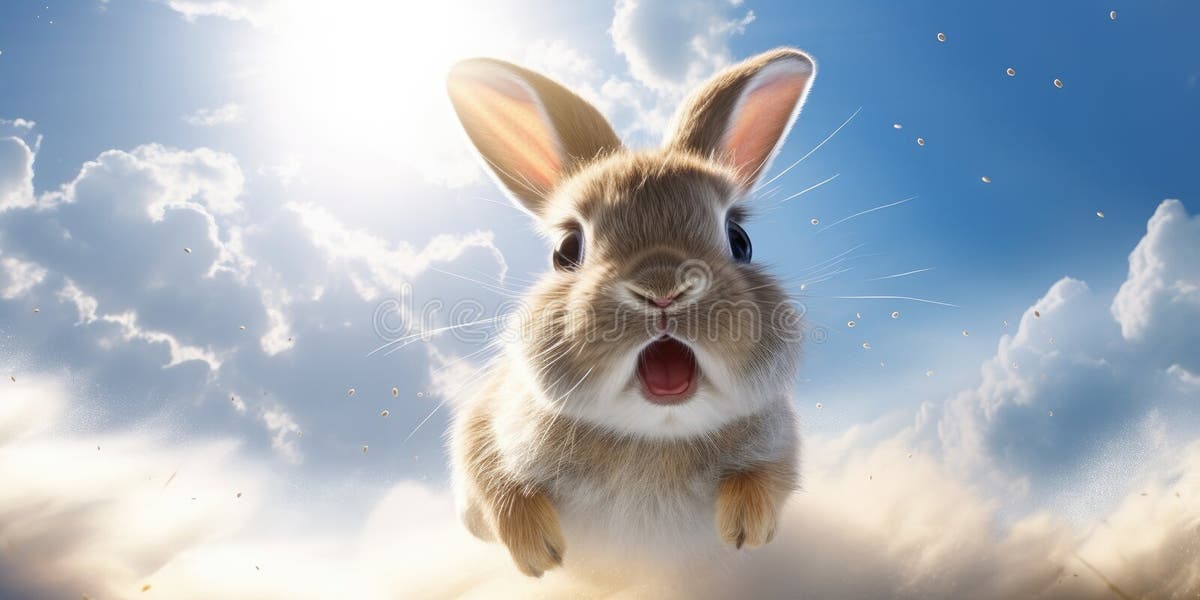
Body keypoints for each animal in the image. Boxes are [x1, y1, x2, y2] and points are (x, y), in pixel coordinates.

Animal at [445, 47, 815, 579]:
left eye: (740, 241)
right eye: (566, 251)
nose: (663, 289)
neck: (653, 435)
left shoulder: (779, 442)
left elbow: (768, 475)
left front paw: (744, 528)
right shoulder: (482, 436)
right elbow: (491, 490)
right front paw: (540, 554)